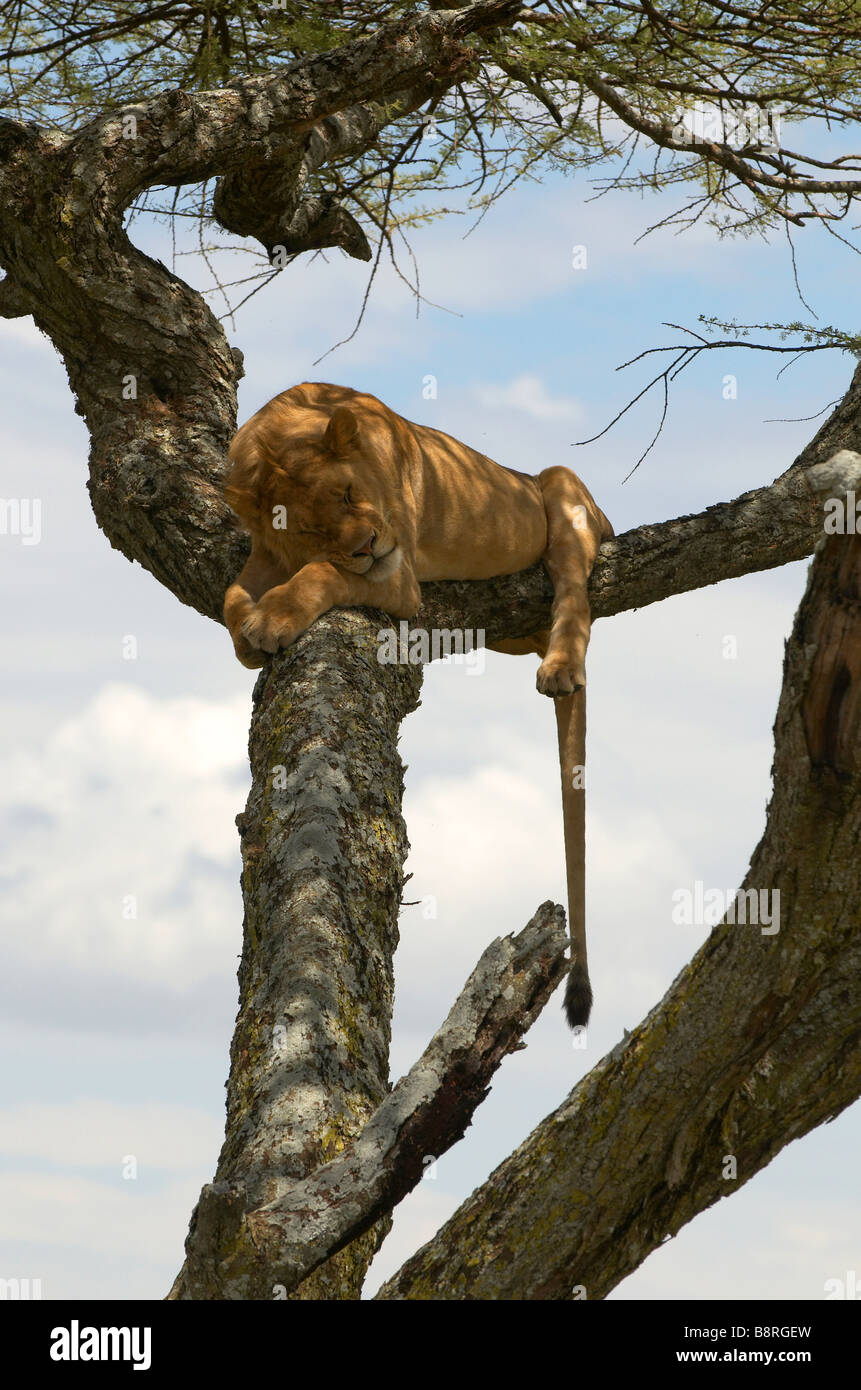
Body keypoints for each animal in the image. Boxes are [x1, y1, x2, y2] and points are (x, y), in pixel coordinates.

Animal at [223, 382, 613, 1028]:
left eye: (348, 493)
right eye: (311, 526)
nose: (366, 545)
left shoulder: (398, 575)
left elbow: (319, 576)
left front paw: (274, 618)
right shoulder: (264, 555)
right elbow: (235, 594)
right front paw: (247, 633)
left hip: (561, 489)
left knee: (573, 594)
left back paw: (560, 669)